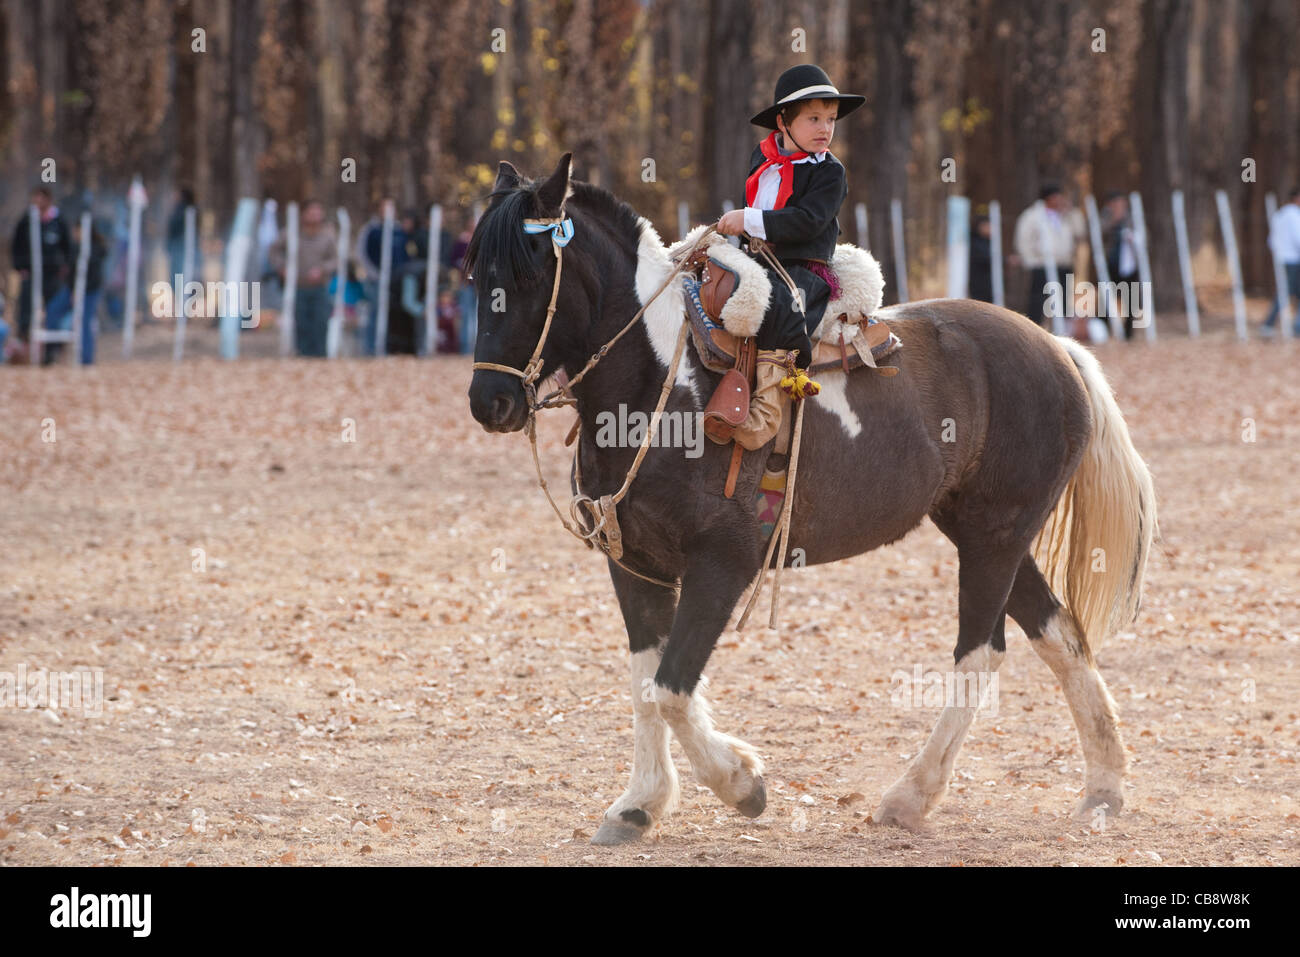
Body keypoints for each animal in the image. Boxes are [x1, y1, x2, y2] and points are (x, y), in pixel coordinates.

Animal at [466, 153, 1156, 845]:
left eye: (530, 274)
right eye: (476, 277)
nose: (488, 404)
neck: (660, 383)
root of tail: (1057, 347)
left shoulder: (723, 565)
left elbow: (671, 689)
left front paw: (742, 784)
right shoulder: (634, 563)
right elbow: (646, 683)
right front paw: (639, 804)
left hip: (994, 537)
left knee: (980, 653)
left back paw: (910, 796)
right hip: (986, 533)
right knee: (1059, 634)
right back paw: (1104, 787)